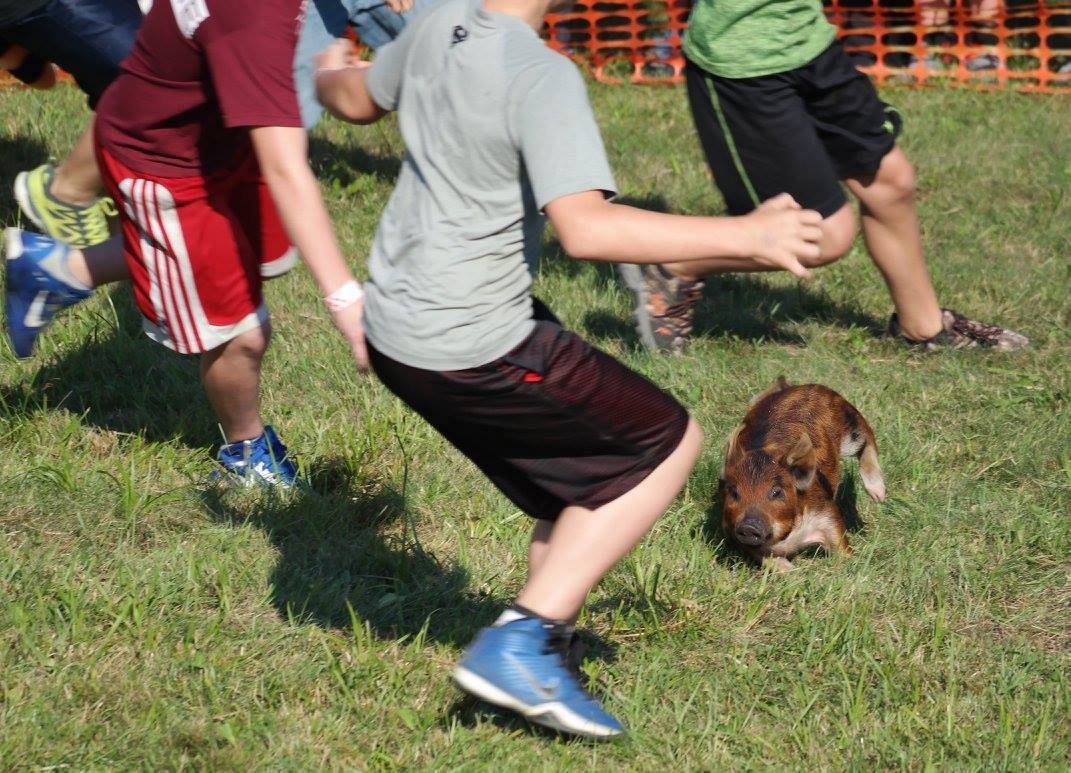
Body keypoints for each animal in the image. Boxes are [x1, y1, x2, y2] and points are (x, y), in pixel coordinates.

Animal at [719, 377, 886, 572]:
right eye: (734, 493)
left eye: (776, 492)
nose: (749, 526)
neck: (788, 537)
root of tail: (791, 387)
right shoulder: (732, 531)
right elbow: (769, 560)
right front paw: (794, 572)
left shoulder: (827, 513)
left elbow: (843, 550)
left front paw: (849, 563)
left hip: (849, 424)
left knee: (868, 435)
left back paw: (879, 496)